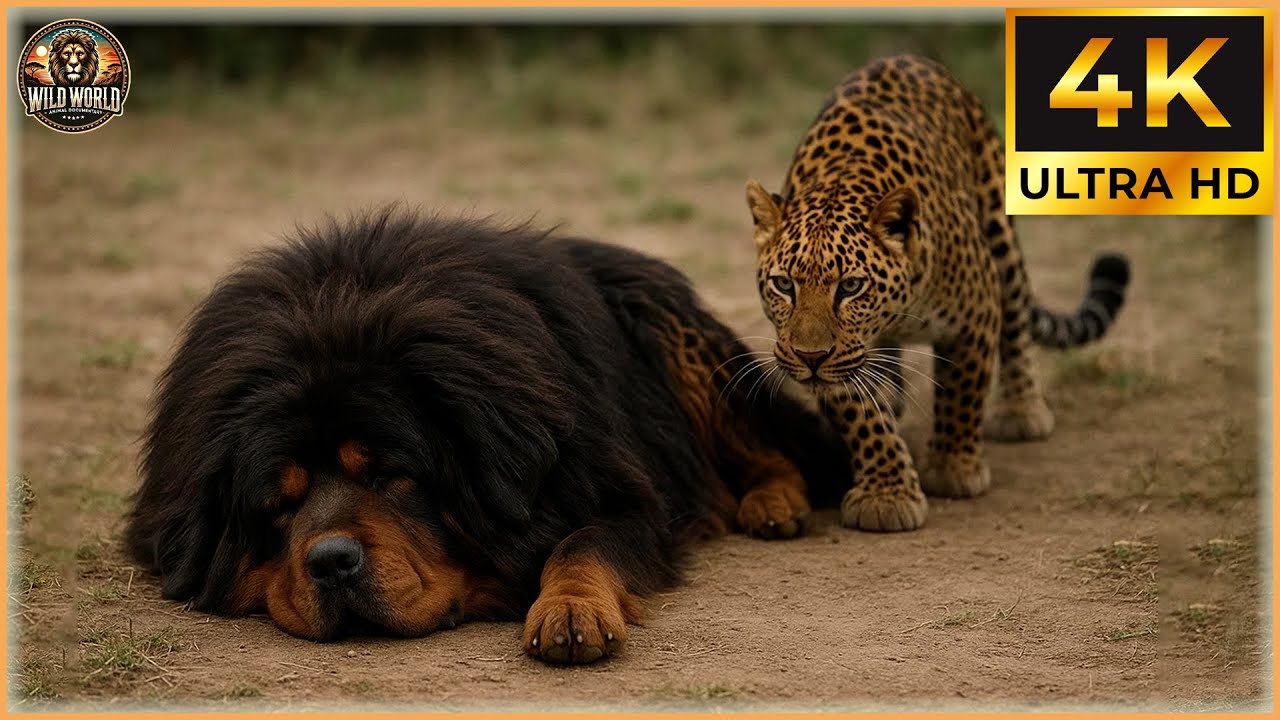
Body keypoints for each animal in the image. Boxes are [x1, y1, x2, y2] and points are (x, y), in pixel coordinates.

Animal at [744, 54, 1131, 533]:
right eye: (784, 285)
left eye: (850, 286)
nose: (809, 357)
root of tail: (909, 58)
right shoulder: (837, 358)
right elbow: (863, 418)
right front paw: (887, 493)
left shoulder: (975, 313)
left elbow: (963, 389)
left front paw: (953, 468)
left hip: (1000, 229)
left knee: (1017, 321)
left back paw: (1022, 410)